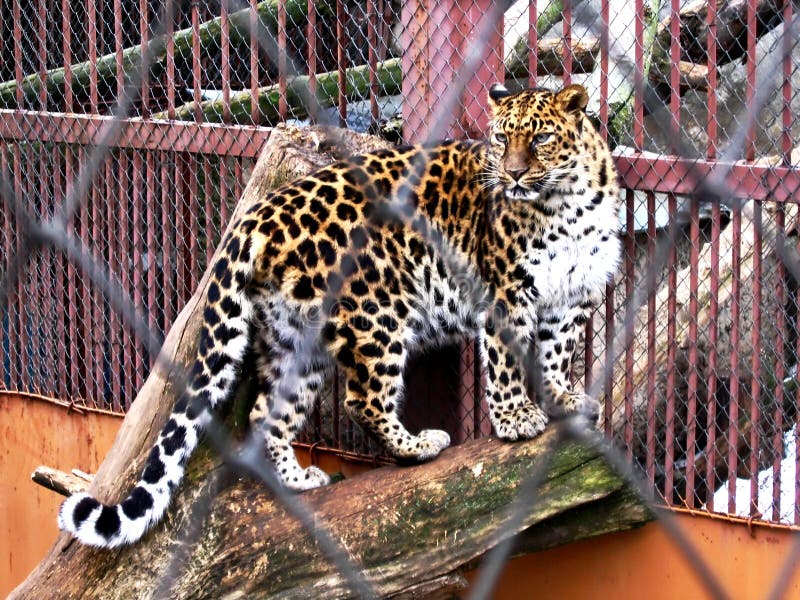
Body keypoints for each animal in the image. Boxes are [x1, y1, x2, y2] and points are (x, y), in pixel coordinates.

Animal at [58, 83, 621, 547]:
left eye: (542, 138)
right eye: (503, 140)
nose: (513, 173)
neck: (566, 204)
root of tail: (258, 217)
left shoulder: (572, 296)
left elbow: (556, 353)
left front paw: (564, 398)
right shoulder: (505, 289)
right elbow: (506, 361)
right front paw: (516, 419)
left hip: (295, 339)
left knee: (266, 412)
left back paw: (298, 479)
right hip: (378, 312)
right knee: (362, 399)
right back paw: (419, 446)